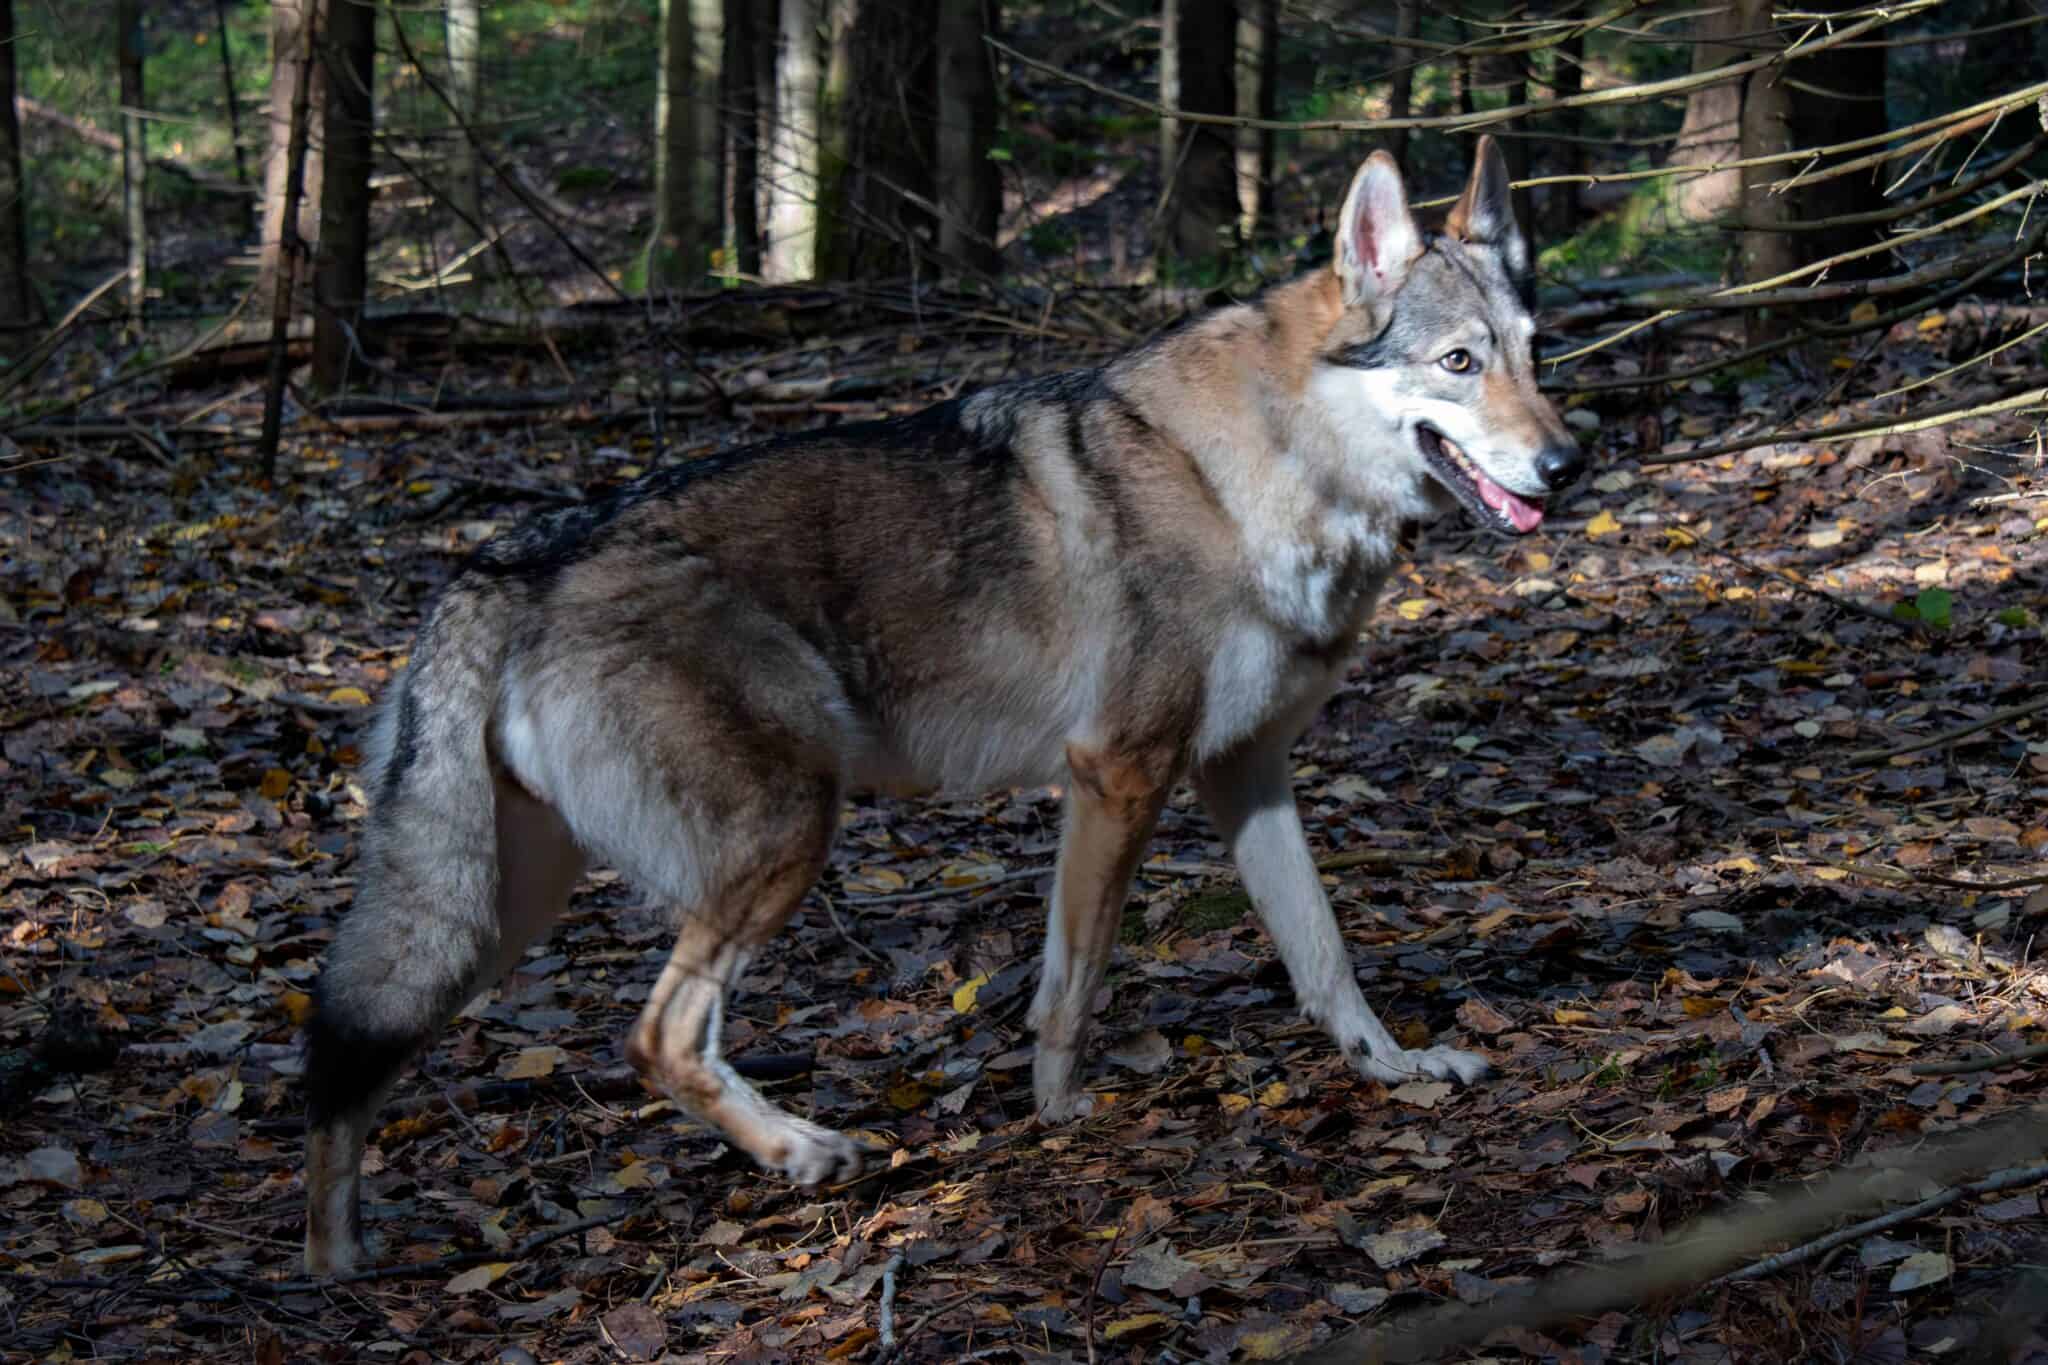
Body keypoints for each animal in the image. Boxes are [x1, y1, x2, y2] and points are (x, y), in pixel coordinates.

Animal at [301, 136, 1583, 1274]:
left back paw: (339, 1260)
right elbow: (1075, 979)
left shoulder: (1242, 773)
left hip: (491, 916)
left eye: (1536, 354)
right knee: (654, 1038)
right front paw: (1064, 1118)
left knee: (345, 1051)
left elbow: (1323, 955)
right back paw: (803, 1152)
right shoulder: (1117, 771)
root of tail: (503, 562)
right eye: (1457, 364)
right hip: (778, 839)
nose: (1571, 464)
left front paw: (1394, 1069)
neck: (1264, 467)